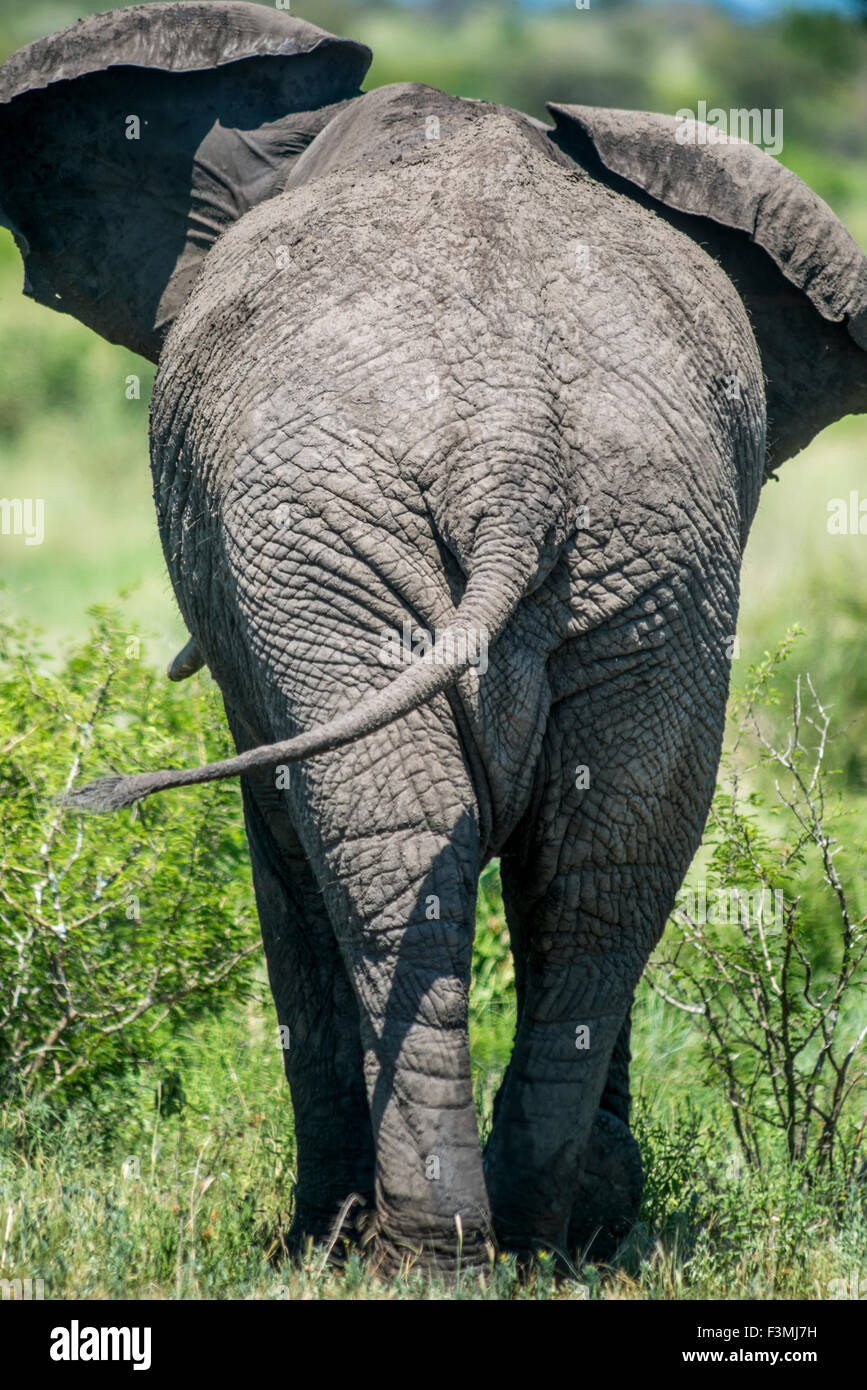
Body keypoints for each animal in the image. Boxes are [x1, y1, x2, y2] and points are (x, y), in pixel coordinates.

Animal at [2, 2, 866, 1272]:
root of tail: (514, 452)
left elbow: (286, 854)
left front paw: (311, 1243)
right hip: (658, 559)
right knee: (608, 866)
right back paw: (548, 1239)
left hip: (337, 549)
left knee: (387, 847)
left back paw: (415, 1247)